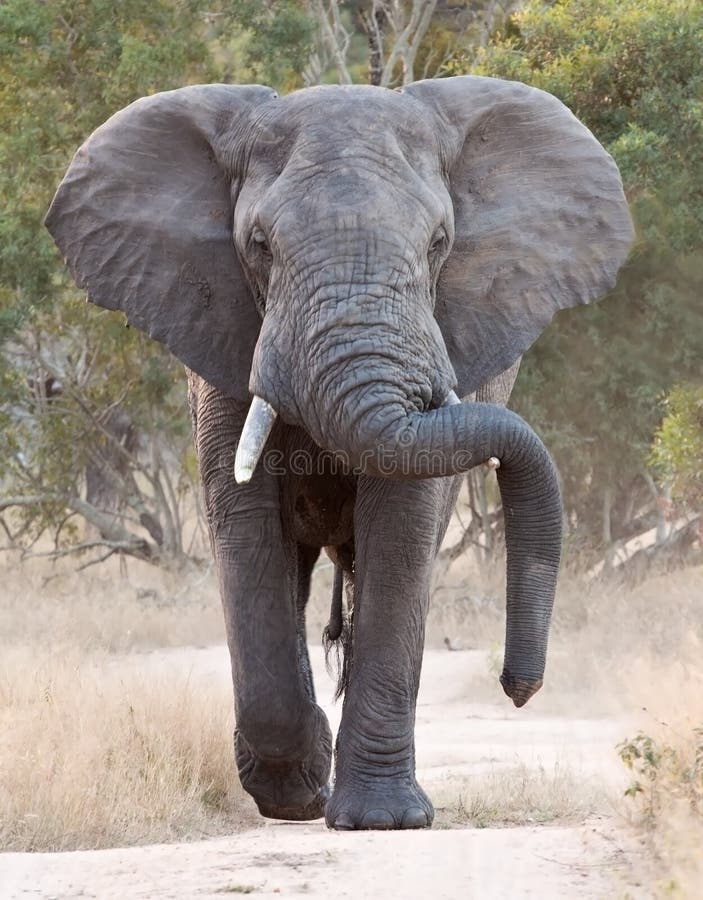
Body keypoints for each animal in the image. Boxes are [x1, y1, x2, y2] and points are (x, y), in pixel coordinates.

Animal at [45, 76, 633, 830]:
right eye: (258, 244)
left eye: (440, 242)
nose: (518, 688)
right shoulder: (223, 337)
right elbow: (245, 528)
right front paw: (297, 794)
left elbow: (404, 528)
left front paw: (383, 821)